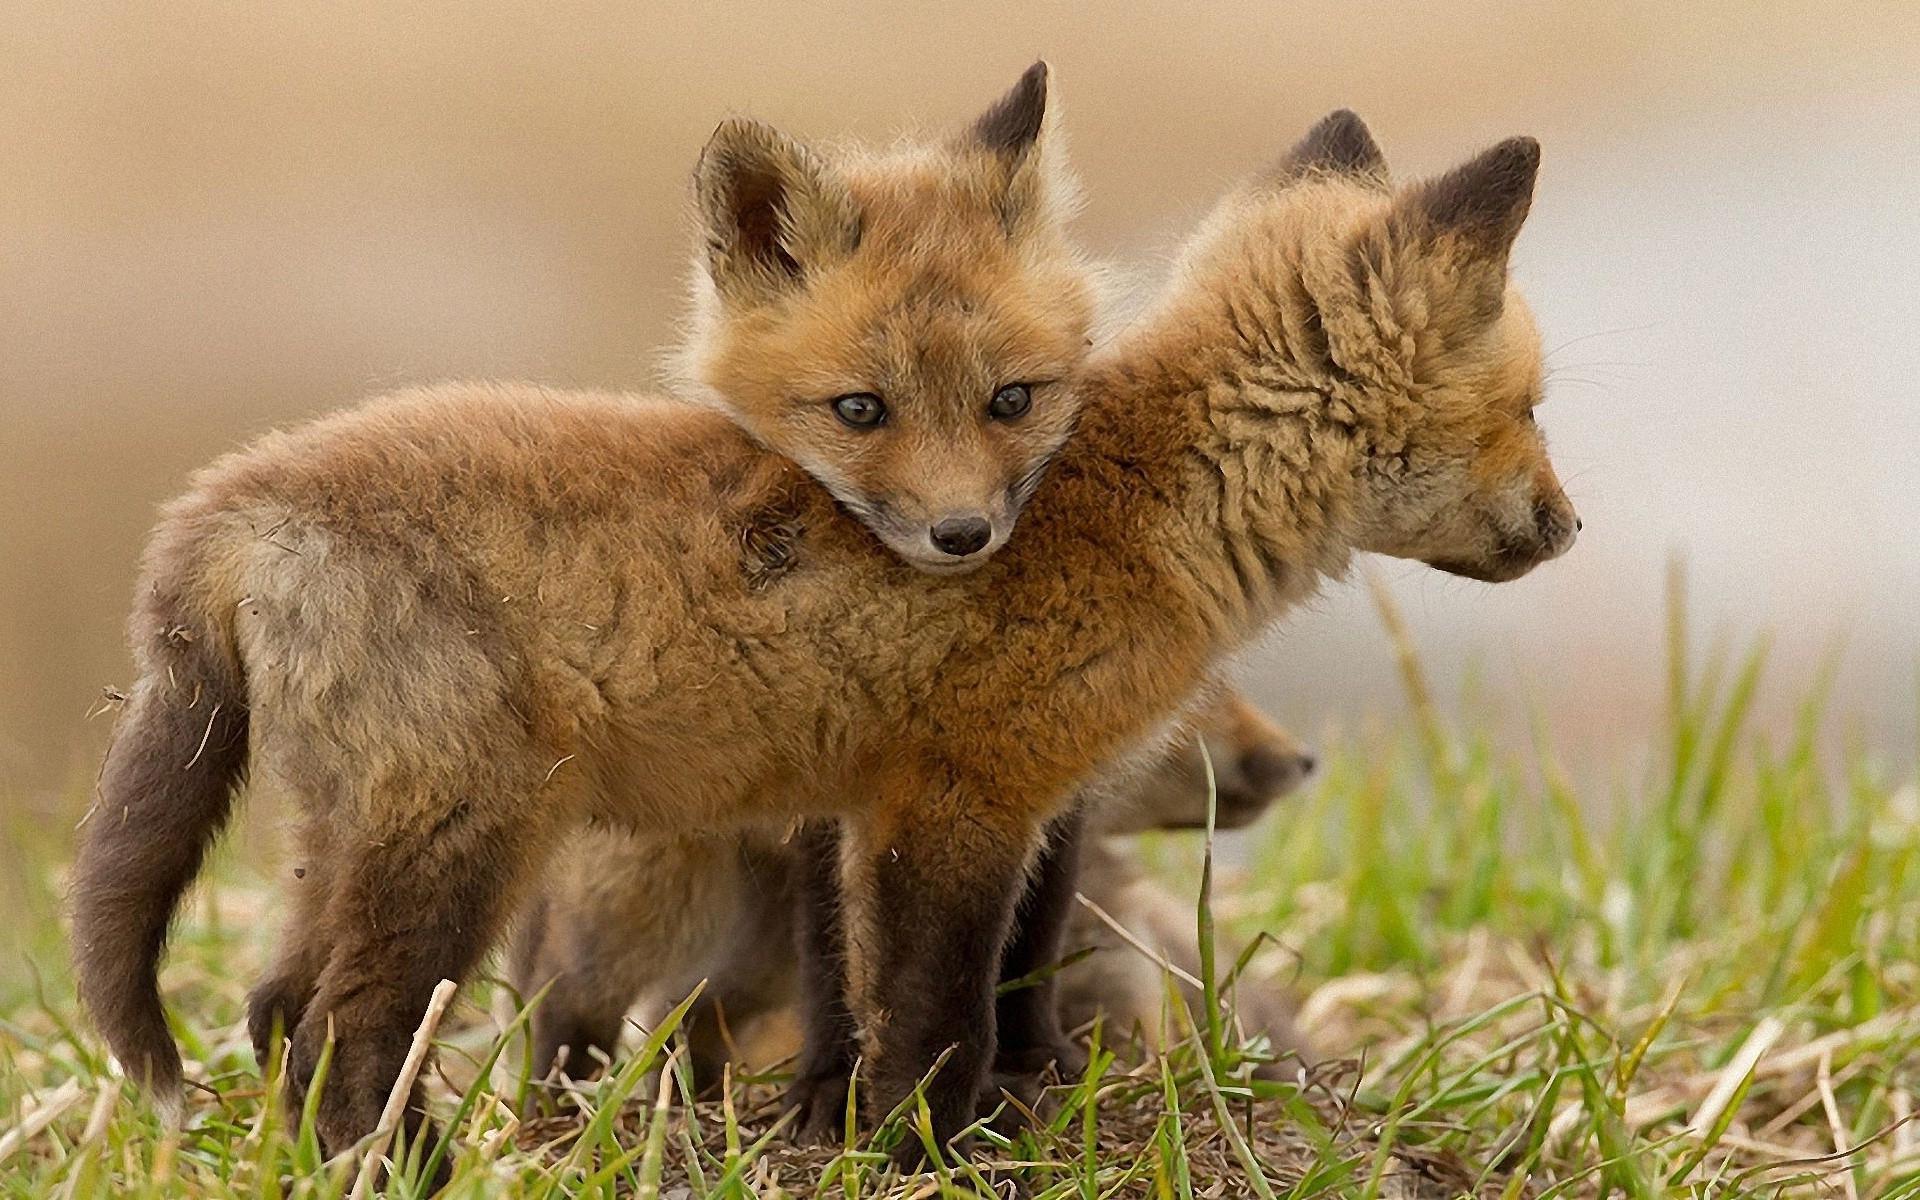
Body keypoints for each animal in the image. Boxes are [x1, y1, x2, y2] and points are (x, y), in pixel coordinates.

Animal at [510, 688, 1317, 1089]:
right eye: (1205, 705)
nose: (1301, 760)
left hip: (743, 950)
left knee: (686, 1016)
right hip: (650, 898)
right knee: (571, 999)